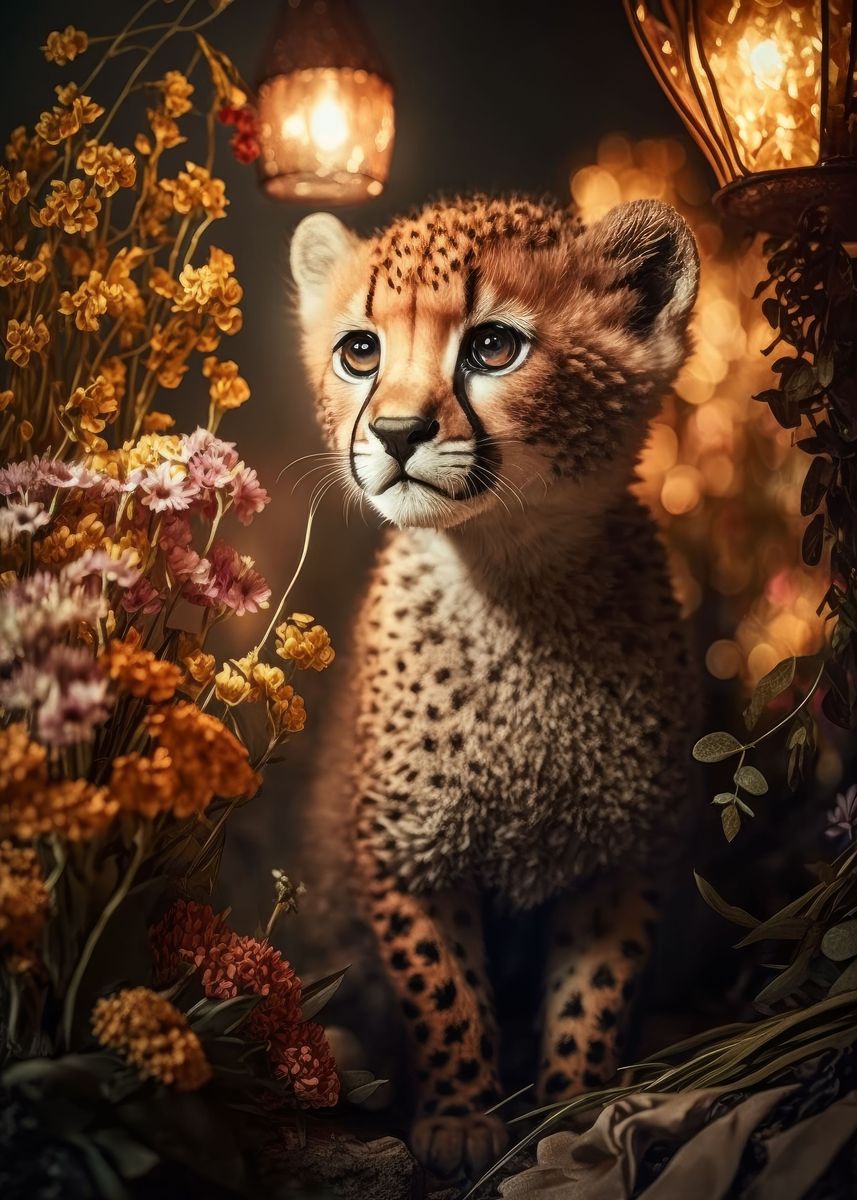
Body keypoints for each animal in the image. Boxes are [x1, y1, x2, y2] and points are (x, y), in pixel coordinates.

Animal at [289, 193, 700, 1180]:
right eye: (359, 350)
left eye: (491, 346)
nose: (396, 434)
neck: (508, 572)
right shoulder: (406, 853)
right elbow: (442, 989)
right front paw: (459, 1115)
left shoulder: (622, 853)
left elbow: (592, 994)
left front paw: (573, 1111)